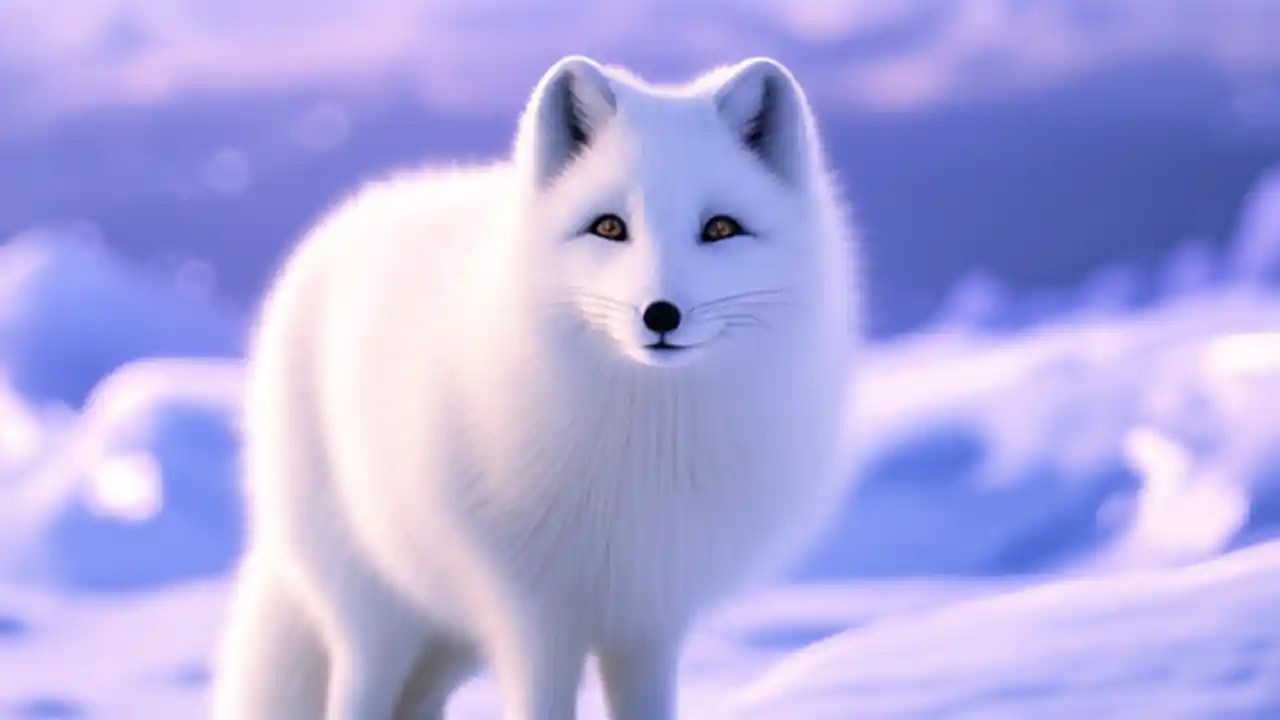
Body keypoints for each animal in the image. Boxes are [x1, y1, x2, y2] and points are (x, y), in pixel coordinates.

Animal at [211, 56, 858, 720]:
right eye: (609, 227)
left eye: (721, 228)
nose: (661, 314)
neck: (644, 445)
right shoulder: (531, 616)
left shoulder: (650, 618)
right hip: (377, 608)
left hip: (450, 638)